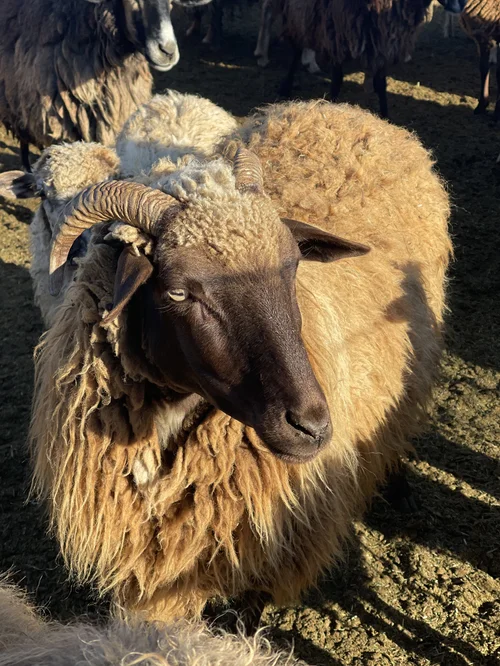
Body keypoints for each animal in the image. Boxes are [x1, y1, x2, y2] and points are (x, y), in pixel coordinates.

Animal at [274, 0, 465, 117]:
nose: (461, 5)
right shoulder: (336, 36)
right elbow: (336, 81)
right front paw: (331, 107)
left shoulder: (381, 42)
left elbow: (381, 85)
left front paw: (385, 117)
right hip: (299, 17)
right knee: (297, 49)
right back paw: (286, 86)